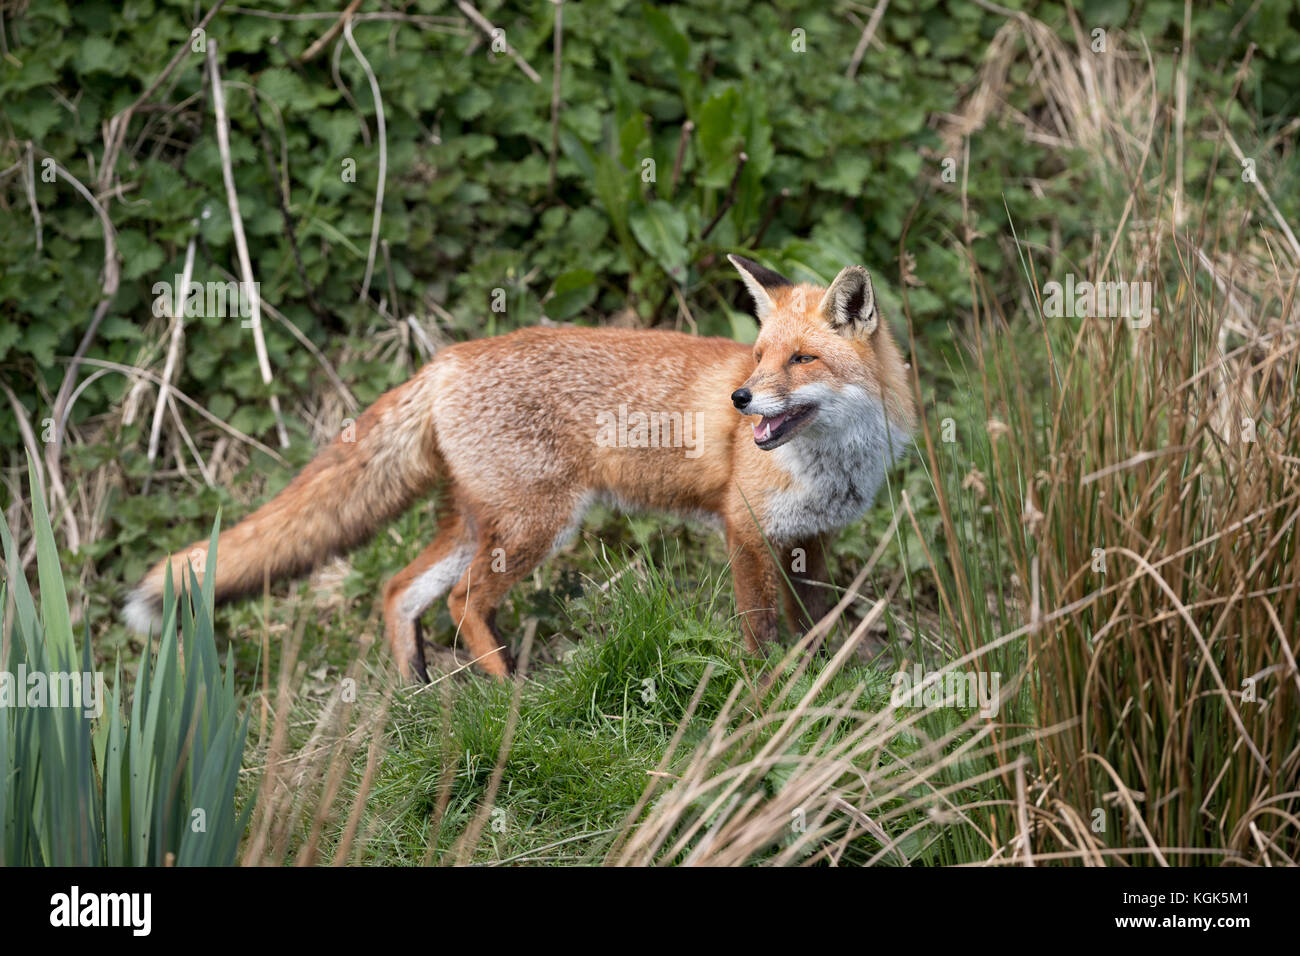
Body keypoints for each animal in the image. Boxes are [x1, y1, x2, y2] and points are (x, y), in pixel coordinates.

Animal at [125, 256, 917, 680]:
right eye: (757, 356)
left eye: (801, 359)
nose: (741, 399)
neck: (834, 462)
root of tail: (447, 358)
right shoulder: (744, 529)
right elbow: (759, 627)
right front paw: (763, 692)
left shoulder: (813, 537)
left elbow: (815, 619)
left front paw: (825, 678)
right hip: (537, 527)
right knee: (459, 602)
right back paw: (509, 691)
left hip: (480, 525)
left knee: (397, 590)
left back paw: (416, 692)